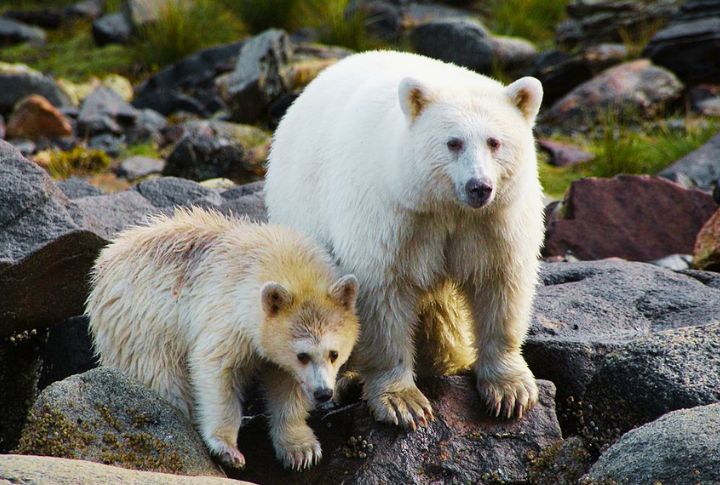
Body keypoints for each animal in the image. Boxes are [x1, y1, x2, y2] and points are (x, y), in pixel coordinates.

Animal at [86, 207, 360, 470]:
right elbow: (217, 370)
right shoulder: (228, 313)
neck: (277, 259)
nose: (323, 393)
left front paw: (301, 450)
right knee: (161, 376)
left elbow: (287, 384)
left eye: (334, 354)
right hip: (142, 325)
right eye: (302, 355)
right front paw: (227, 449)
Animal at [264, 51, 545, 429]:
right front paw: (403, 402)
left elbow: (501, 284)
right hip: (302, 210)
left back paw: (447, 356)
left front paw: (511, 391)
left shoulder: (493, 221)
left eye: (495, 142)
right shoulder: (393, 215)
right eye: (453, 142)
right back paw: (346, 378)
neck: (445, 206)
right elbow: (382, 293)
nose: (479, 187)